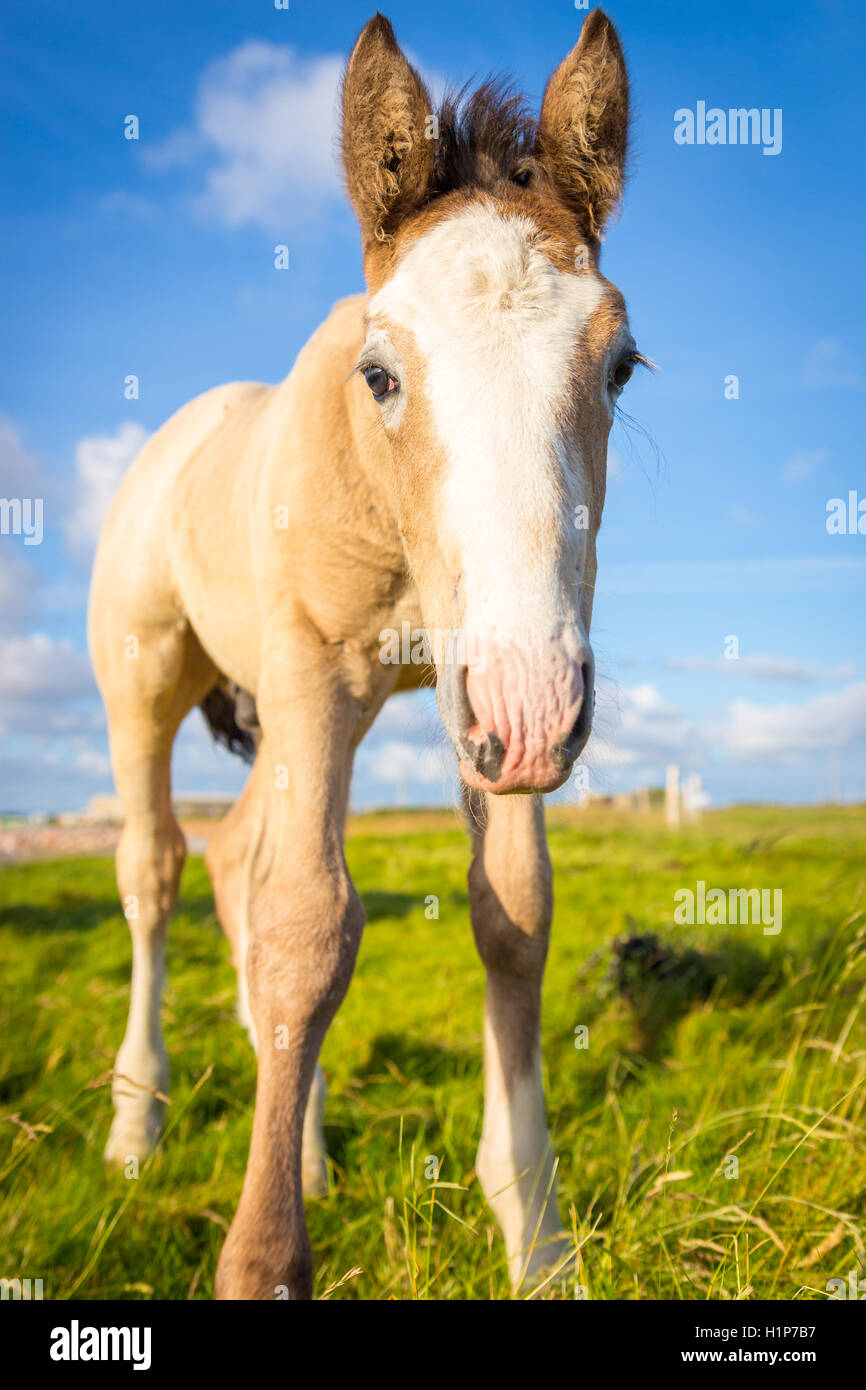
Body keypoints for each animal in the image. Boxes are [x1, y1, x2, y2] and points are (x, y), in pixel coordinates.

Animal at [88, 8, 639, 1299]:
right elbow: (308, 925)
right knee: (160, 869)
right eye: (379, 373)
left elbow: (511, 914)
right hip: (152, 679)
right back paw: (138, 1120)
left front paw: (536, 1237)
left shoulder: (487, 686)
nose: (537, 717)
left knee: (236, 856)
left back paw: (305, 1141)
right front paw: (260, 1260)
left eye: (619, 365)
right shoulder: (319, 673)